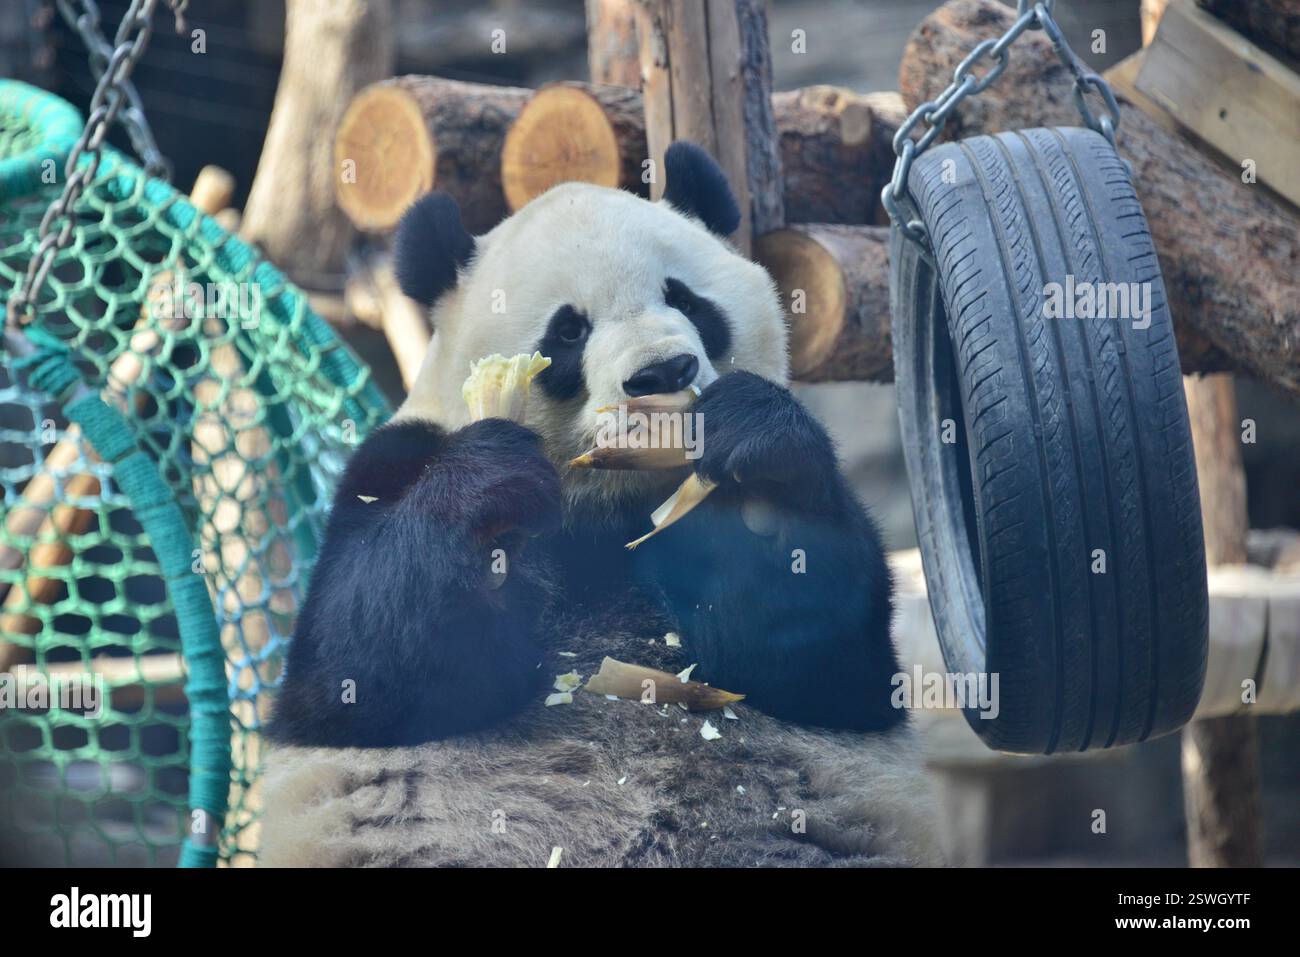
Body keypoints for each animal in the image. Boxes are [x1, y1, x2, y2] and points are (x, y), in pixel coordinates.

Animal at [258, 142, 942, 867]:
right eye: (568, 332)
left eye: (685, 298)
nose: (663, 373)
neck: (611, 501)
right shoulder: (393, 459)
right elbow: (361, 669)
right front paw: (490, 491)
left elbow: (821, 661)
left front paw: (754, 459)